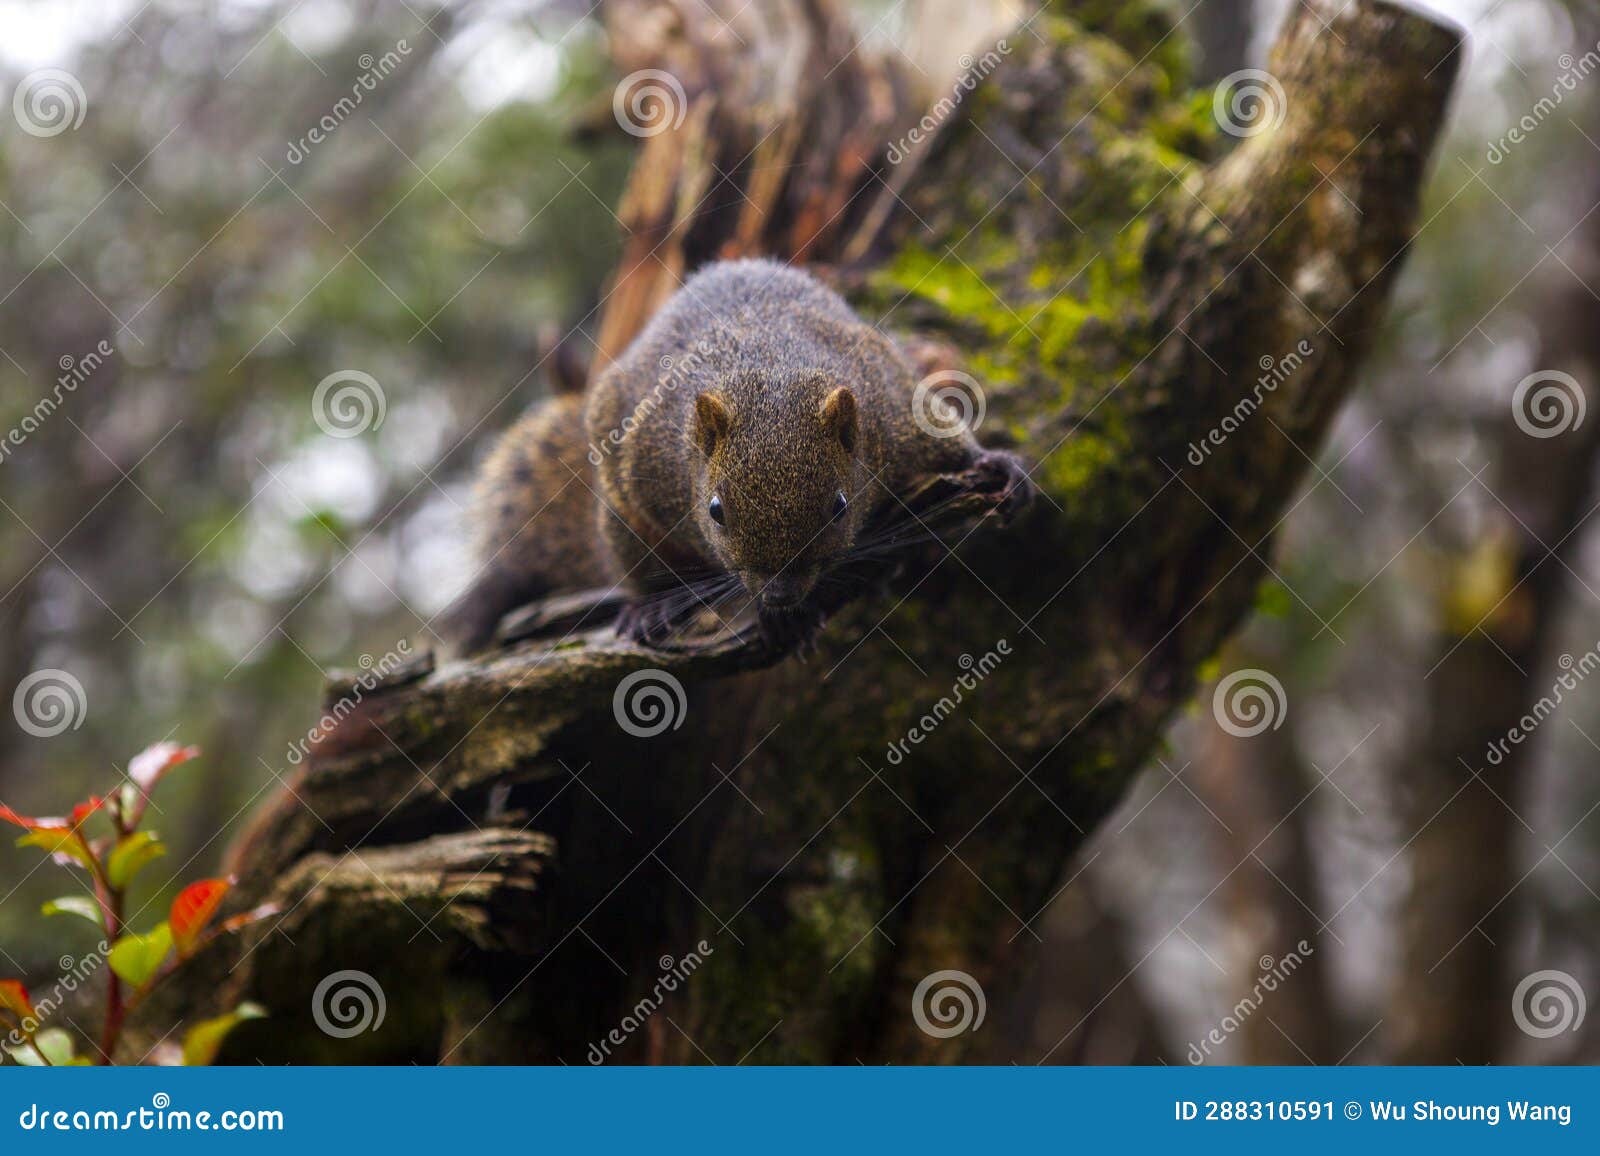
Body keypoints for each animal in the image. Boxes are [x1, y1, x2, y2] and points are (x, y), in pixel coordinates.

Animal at [440, 259, 1031, 654]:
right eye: (716, 511)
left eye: (840, 506)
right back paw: (652, 605)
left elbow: (943, 439)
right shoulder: (640, 468)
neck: (767, 370)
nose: (782, 593)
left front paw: (997, 467)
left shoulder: (894, 413)